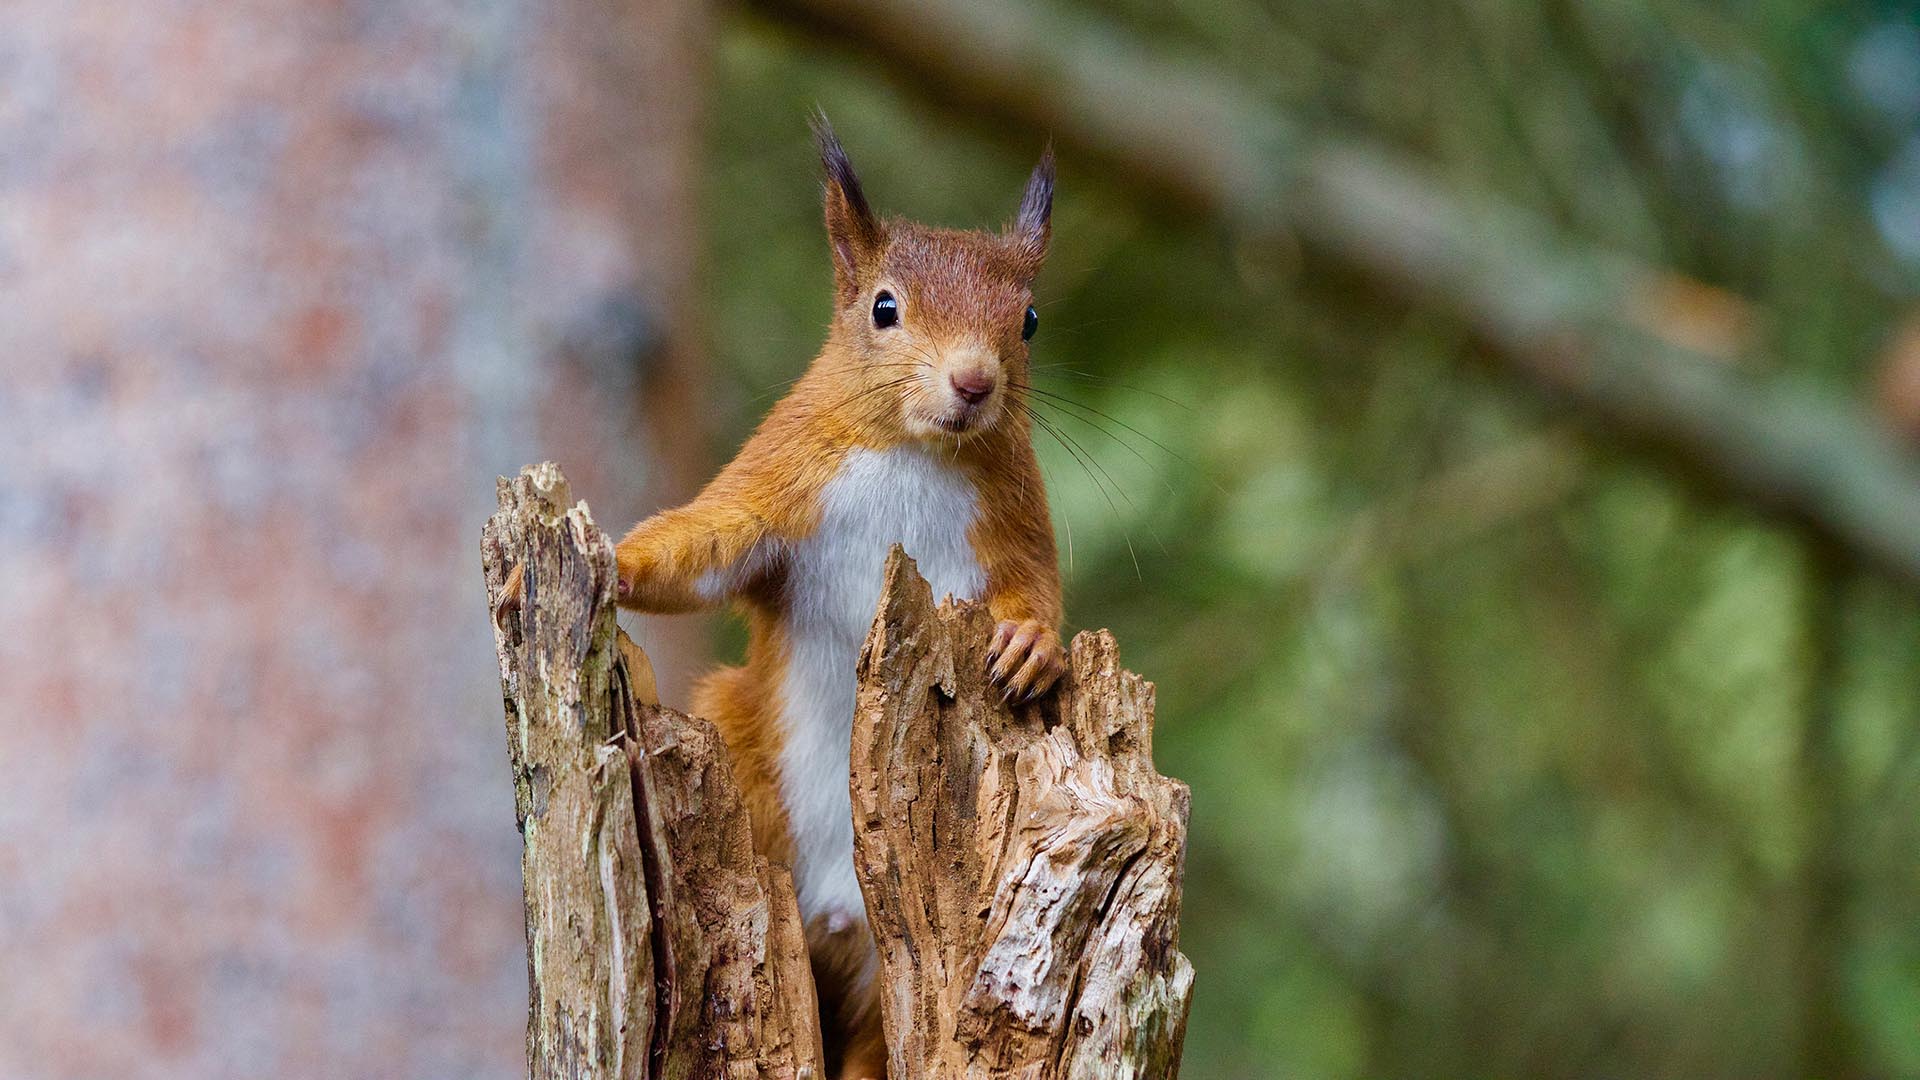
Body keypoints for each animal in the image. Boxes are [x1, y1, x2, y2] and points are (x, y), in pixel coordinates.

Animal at [504, 118, 1065, 1080]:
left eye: (1027, 320)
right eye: (884, 308)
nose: (974, 383)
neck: (914, 451)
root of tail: (837, 916)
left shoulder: (1016, 518)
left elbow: (1039, 587)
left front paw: (1033, 645)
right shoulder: (780, 482)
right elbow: (703, 546)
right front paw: (608, 559)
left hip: (883, 973)